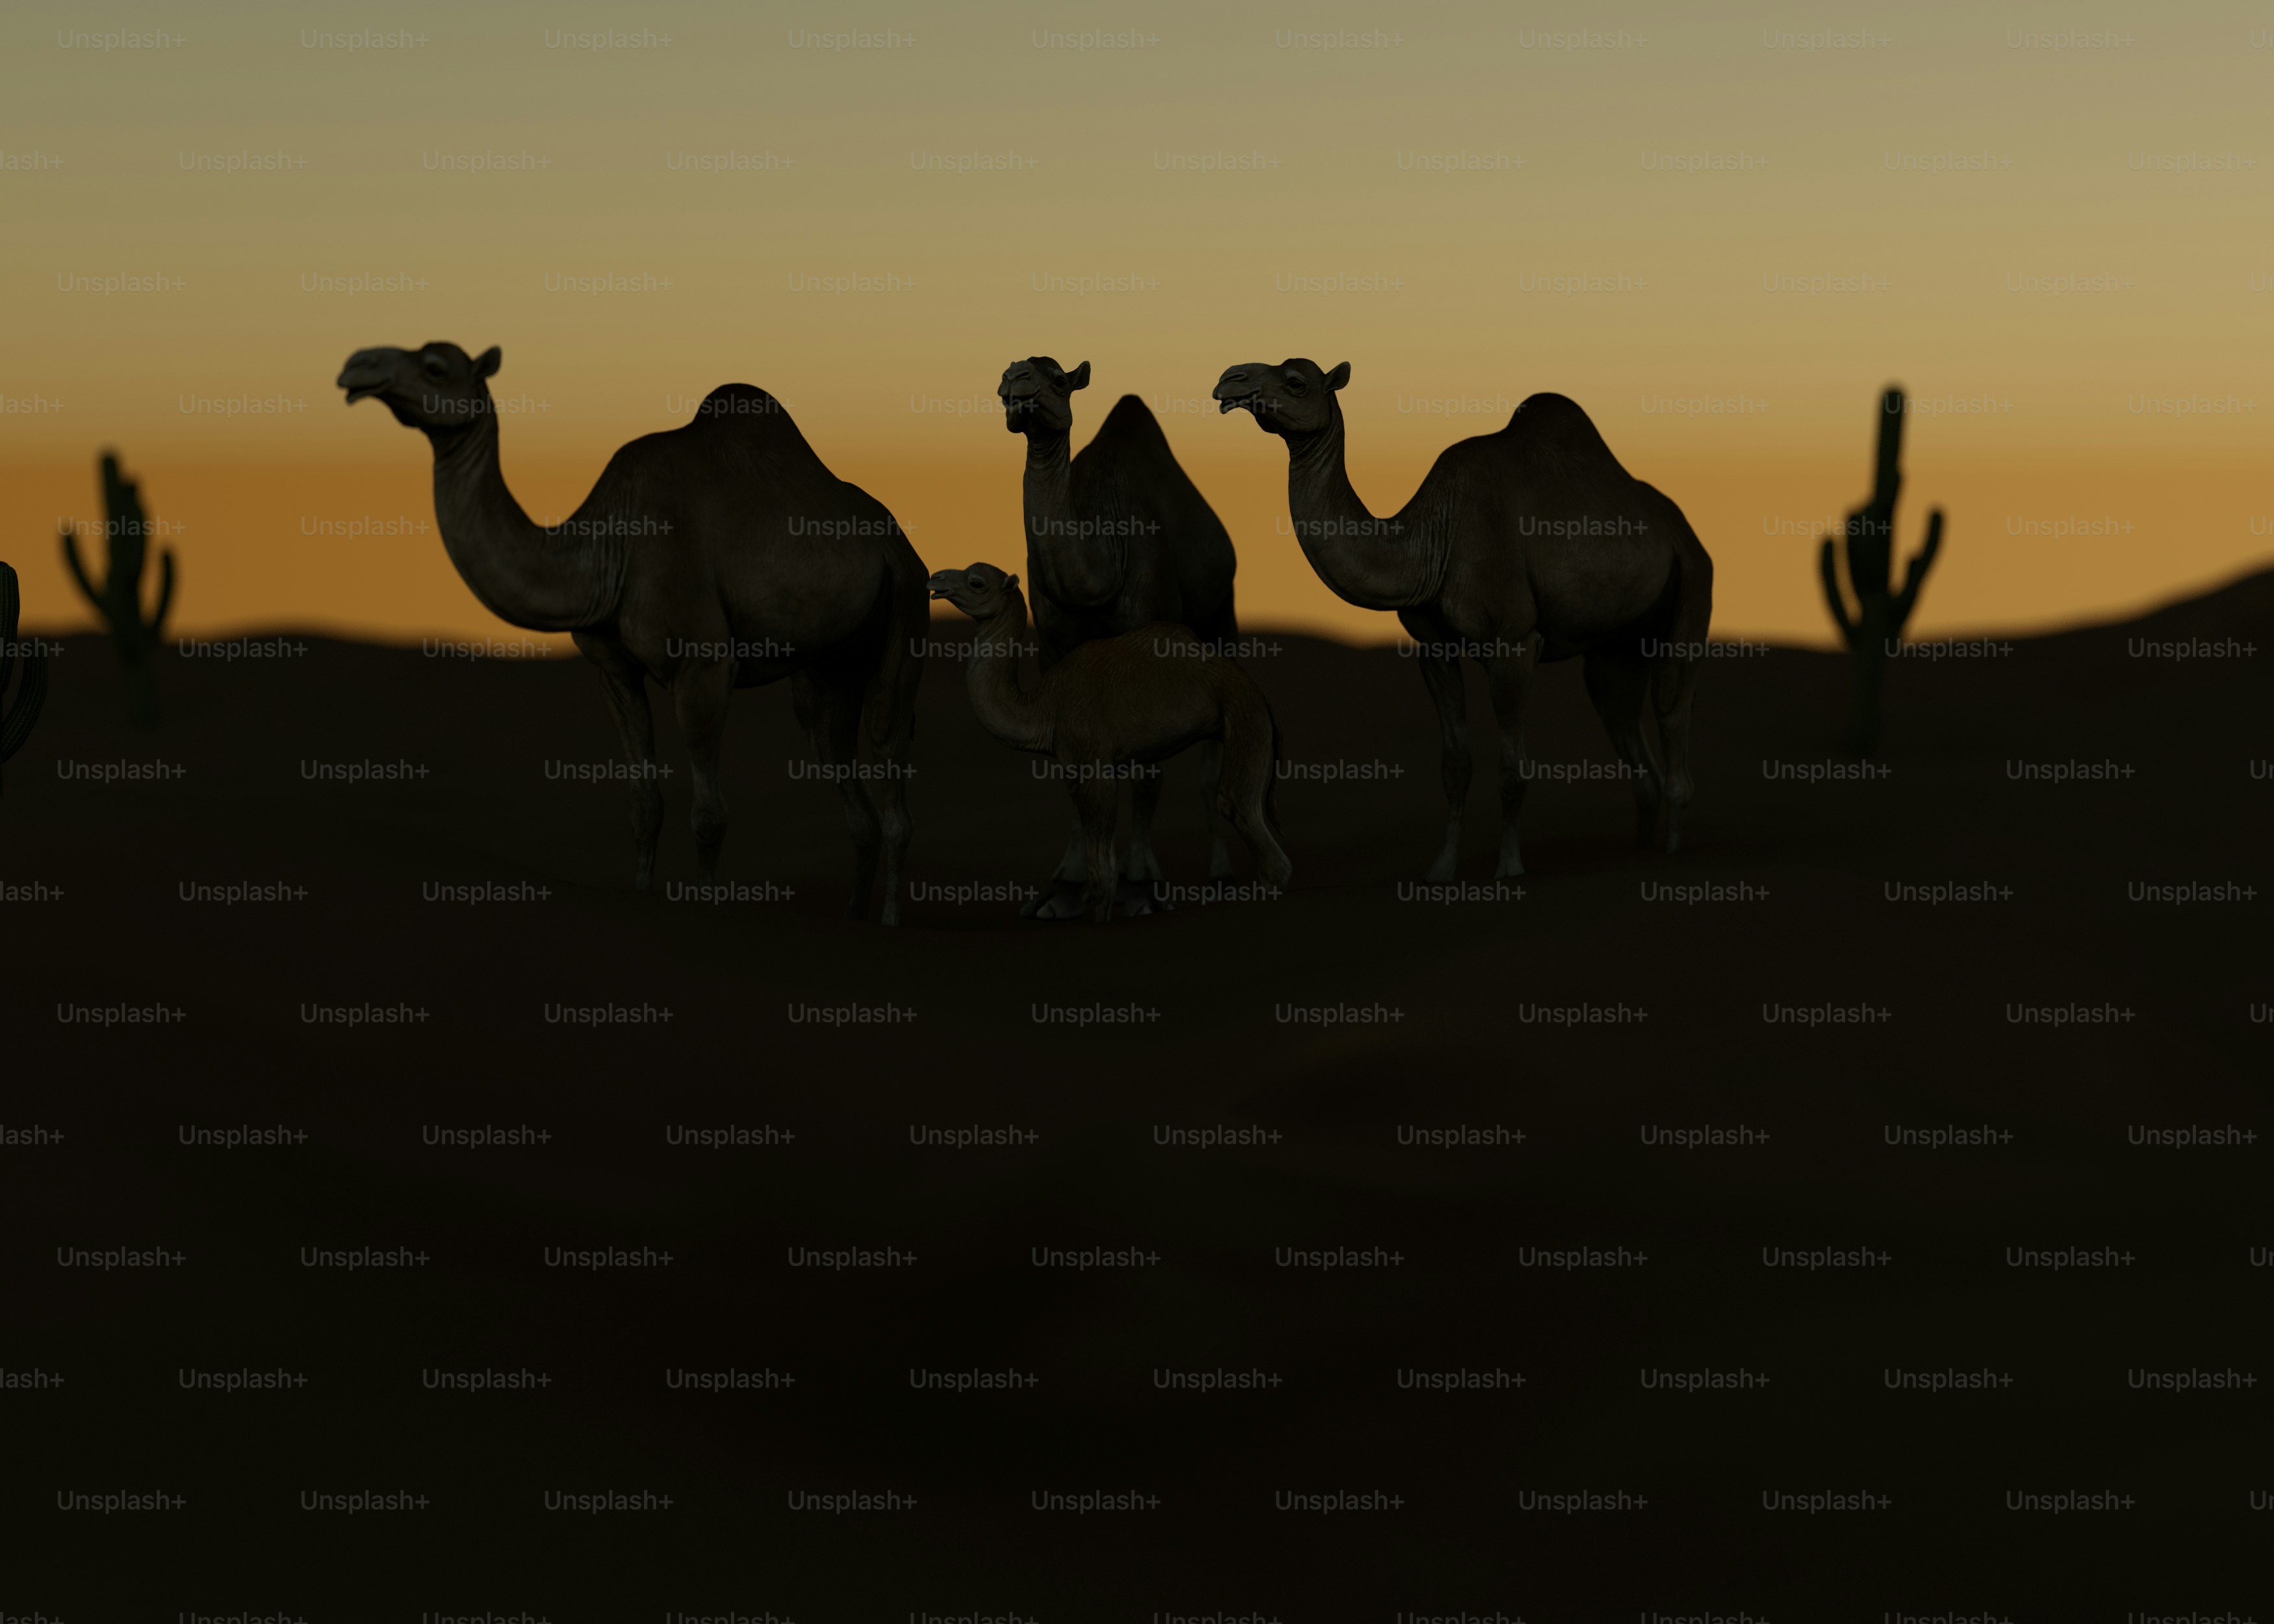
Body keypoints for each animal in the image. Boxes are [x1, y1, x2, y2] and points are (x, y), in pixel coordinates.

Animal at [338, 342, 925, 922]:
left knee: (891, 756)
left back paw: (891, 916)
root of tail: (896, 536)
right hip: (825, 667)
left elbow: (709, 812)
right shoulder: (612, 668)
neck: (607, 547)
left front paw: (705, 907)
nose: (356, 367)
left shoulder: (704, 663)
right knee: (841, 770)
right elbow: (645, 804)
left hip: (906, 610)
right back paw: (852, 915)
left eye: (436, 367)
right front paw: (641, 894)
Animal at [928, 562, 1289, 923]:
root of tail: (1258, 691)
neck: (1044, 707)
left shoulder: (1091, 763)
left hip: (1243, 714)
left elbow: (1103, 875)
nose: (936, 579)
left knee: (1243, 815)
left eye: (977, 583)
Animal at [998, 356, 1239, 915]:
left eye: (1058, 379)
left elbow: (1148, 768)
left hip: (1222, 617)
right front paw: (1064, 887)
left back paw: (1222, 873)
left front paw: (1142, 883)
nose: (1017, 379)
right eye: (1008, 372)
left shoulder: (1154, 634)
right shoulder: (1054, 646)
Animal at [1213, 359, 1712, 877]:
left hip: (1693, 578)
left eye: (1296, 382)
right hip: (1615, 647)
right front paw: (1442, 868)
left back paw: (1673, 846)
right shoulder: (1434, 647)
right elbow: (1455, 766)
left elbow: (1512, 768)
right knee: (1620, 710)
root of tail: (1679, 523)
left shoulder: (1514, 643)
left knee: (1672, 702)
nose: (1231, 379)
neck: (1432, 539)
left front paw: (1509, 867)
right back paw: (1641, 847)